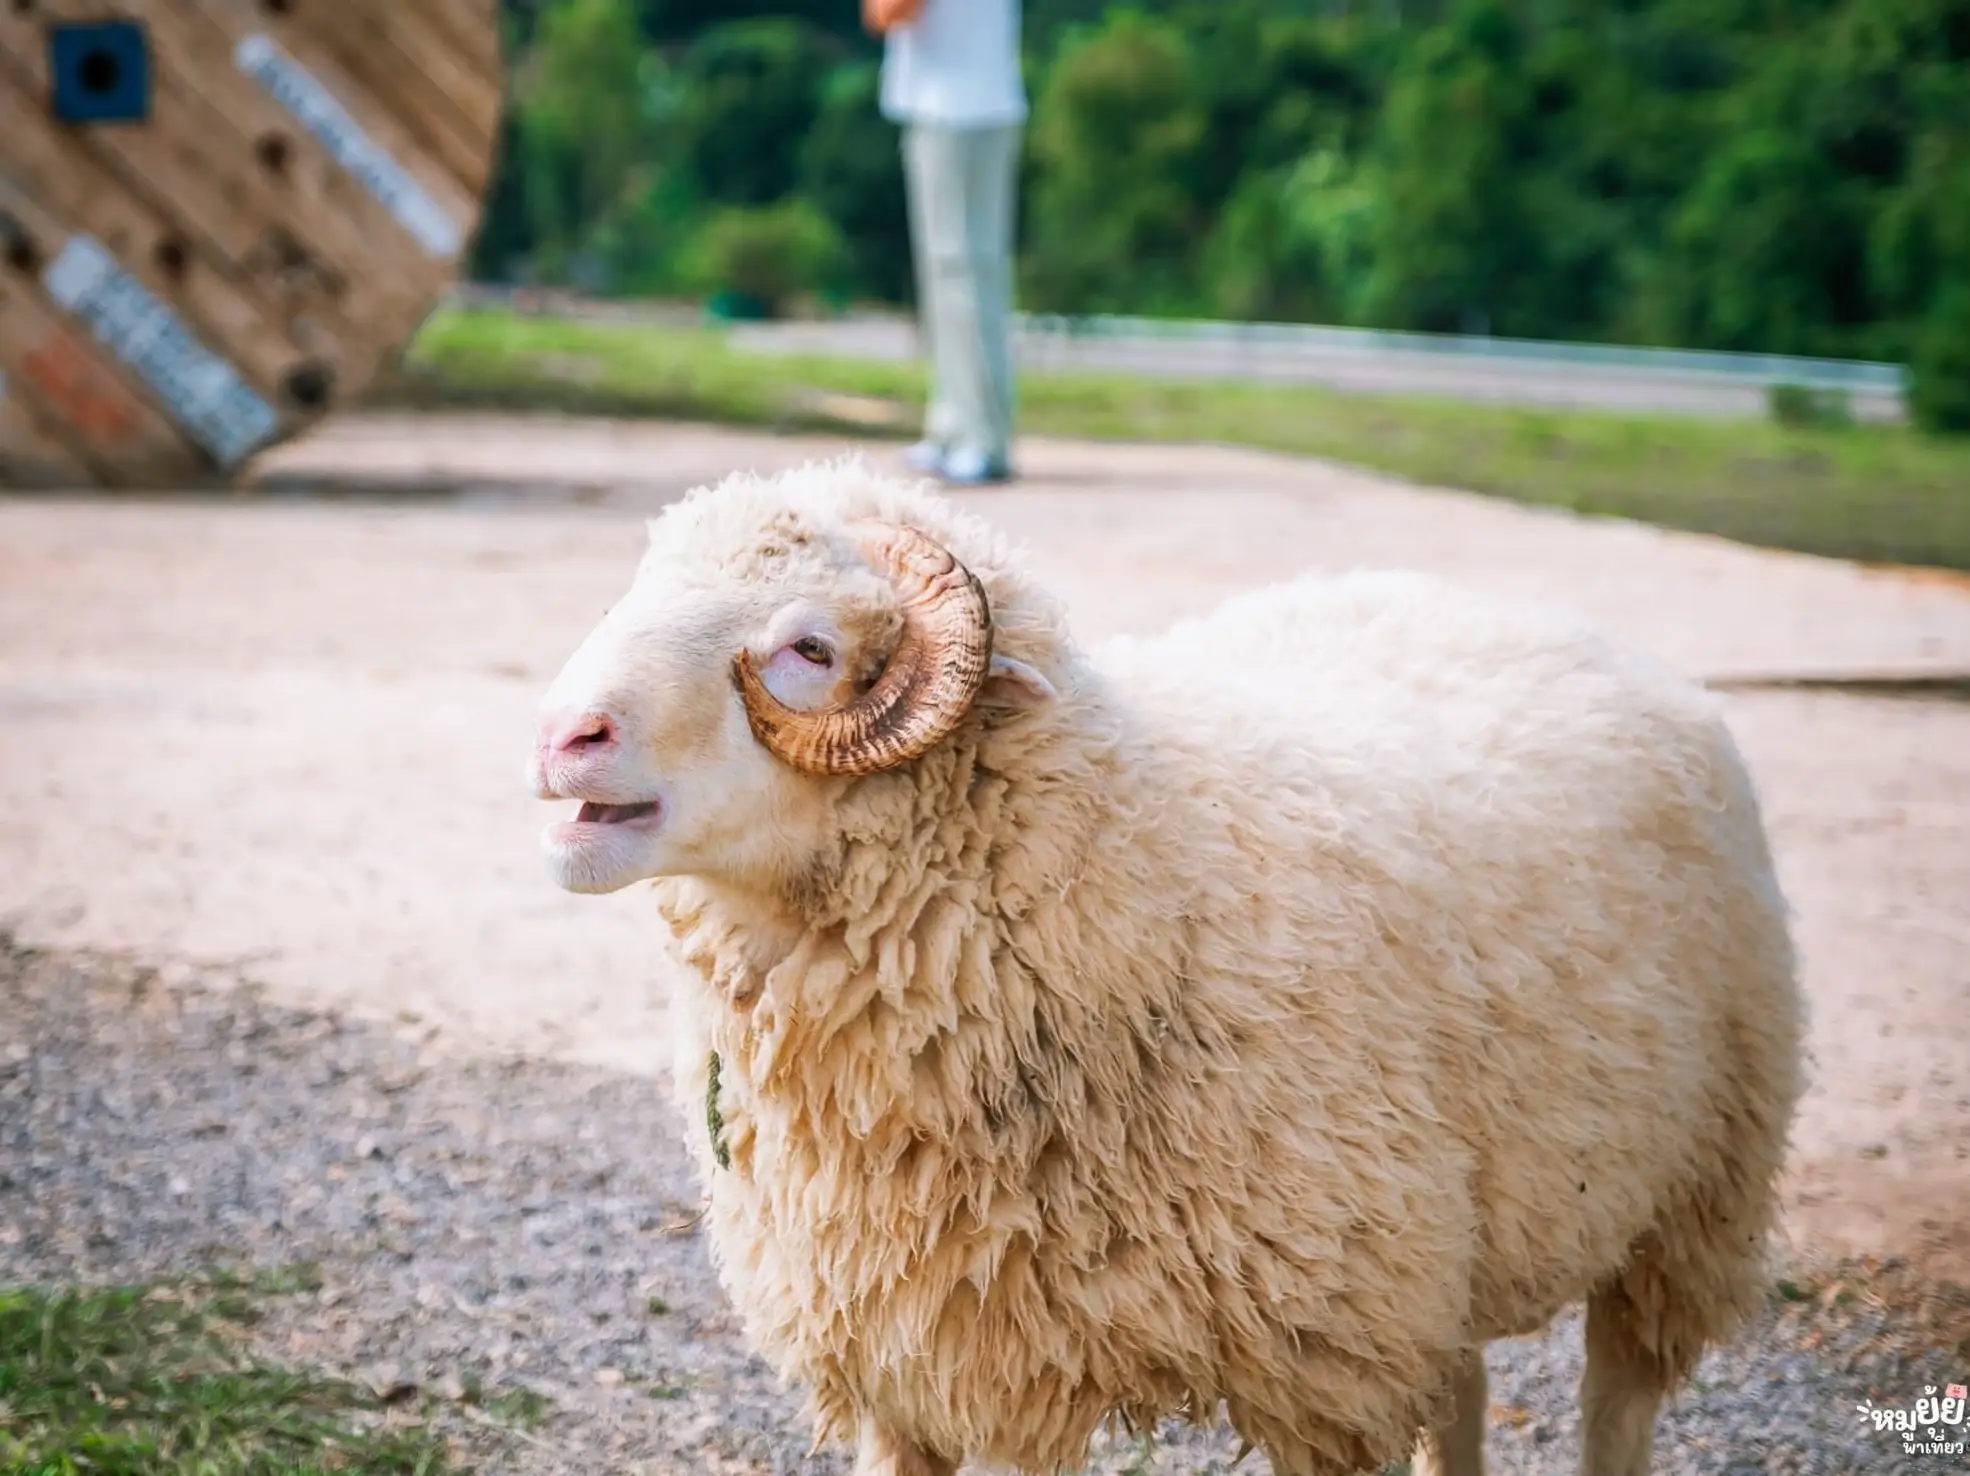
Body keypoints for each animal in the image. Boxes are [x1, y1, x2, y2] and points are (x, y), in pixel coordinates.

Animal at [525, 458, 1806, 1476]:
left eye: (807, 647)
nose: (560, 736)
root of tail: (1553, 618)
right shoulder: (918, 1364)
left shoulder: (1322, 1363)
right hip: (1456, 1243)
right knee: (1466, 1390)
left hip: (1688, 1197)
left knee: (1614, 1397)